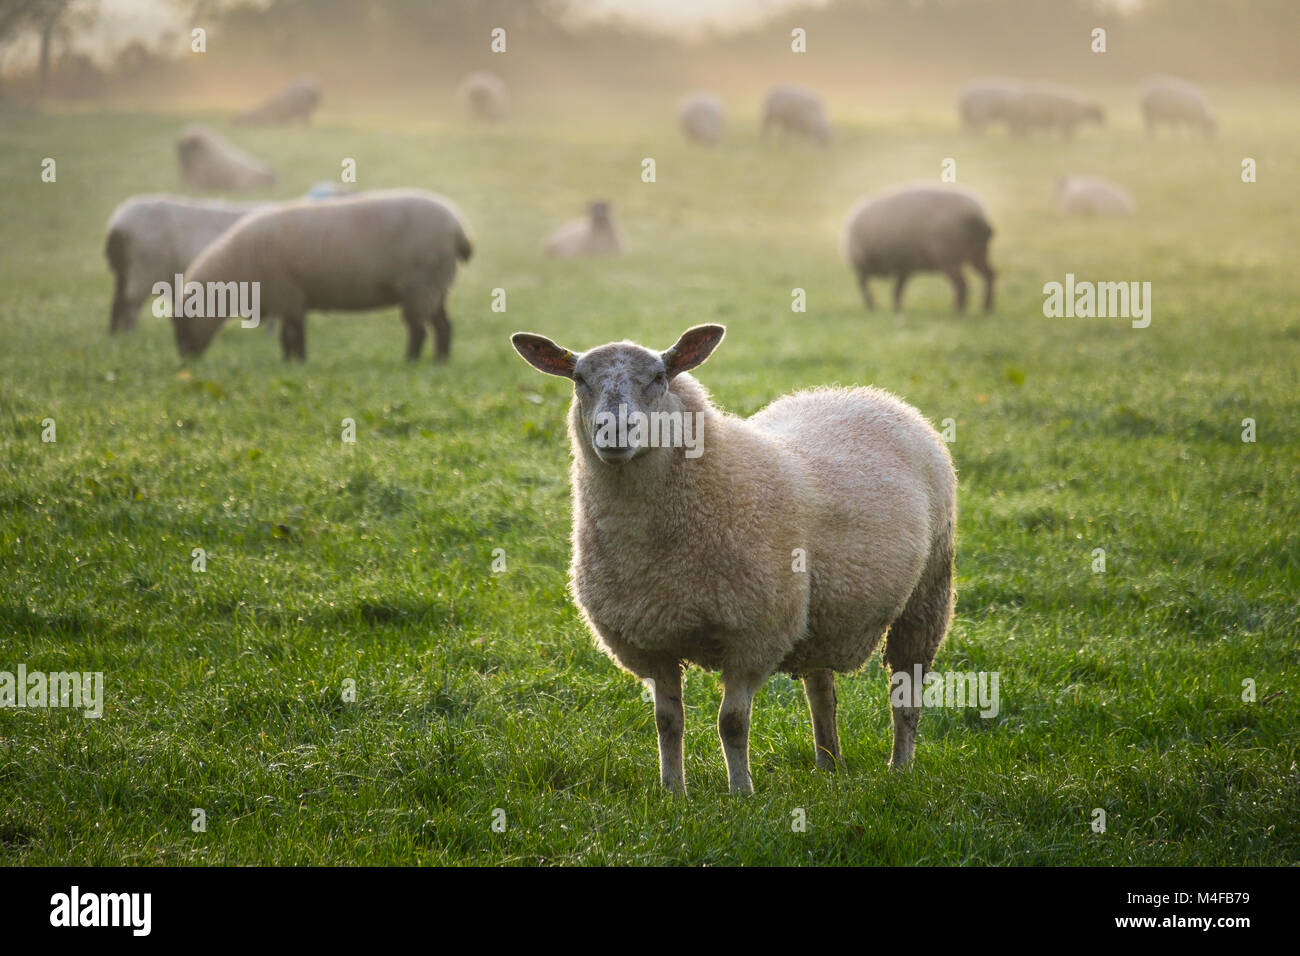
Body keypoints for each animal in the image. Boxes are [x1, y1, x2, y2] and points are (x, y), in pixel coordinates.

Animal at [104, 194, 263, 334]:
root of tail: (118, 223)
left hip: (127, 273)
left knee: (118, 303)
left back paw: (115, 335)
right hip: (144, 271)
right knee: (130, 305)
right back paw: (128, 335)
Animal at [172, 189, 472, 362]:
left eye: (183, 322)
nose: (186, 359)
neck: (235, 268)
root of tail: (458, 228)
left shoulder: (288, 295)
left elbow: (292, 335)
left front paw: (296, 362)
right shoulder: (289, 299)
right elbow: (290, 336)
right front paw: (291, 361)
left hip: (420, 286)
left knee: (418, 329)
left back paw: (410, 360)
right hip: (437, 287)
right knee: (443, 326)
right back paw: (440, 360)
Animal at [510, 324, 957, 794]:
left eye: (659, 377)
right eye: (579, 378)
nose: (614, 430)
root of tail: (865, 394)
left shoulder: (753, 635)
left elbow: (733, 723)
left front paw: (741, 791)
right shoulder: (650, 641)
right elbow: (667, 721)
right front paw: (672, 792)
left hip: (927, 594)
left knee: (906, 696)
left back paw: (899, 767)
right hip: (819, 614)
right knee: (821, 692)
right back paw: (828, 765)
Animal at [844, 182, 995, 313]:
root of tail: (977, 215)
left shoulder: (899, 266)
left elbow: (889, 290)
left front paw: (888, 308)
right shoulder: (904, 266)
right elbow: (897, 290)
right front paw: (896, 309)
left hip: (949, 257)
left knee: (962, 284)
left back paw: (958, 312)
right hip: (977, 253)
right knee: (989, 274)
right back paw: (985, 309)